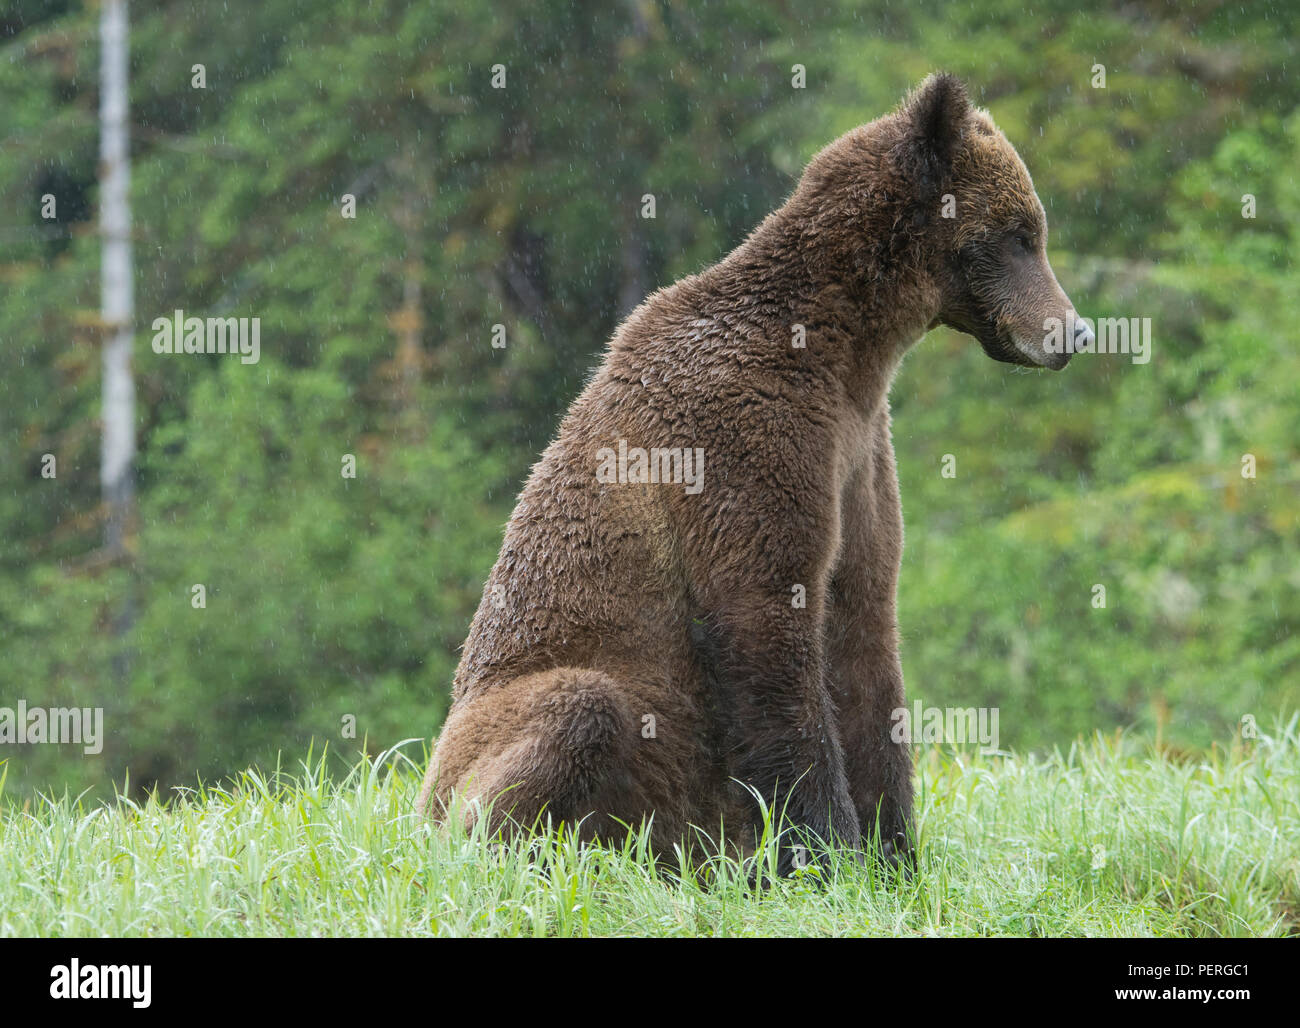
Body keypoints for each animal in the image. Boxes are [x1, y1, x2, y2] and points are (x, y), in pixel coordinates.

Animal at [418, 73, 1092, 874]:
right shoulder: (742, 439)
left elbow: (866, 632)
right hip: (495, 730)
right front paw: (828, 851)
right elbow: (767, 622)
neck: (848, 355)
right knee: (576, 710)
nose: (1075, 333)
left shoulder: (858, 455)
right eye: (1021, 234)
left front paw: (897, 850)